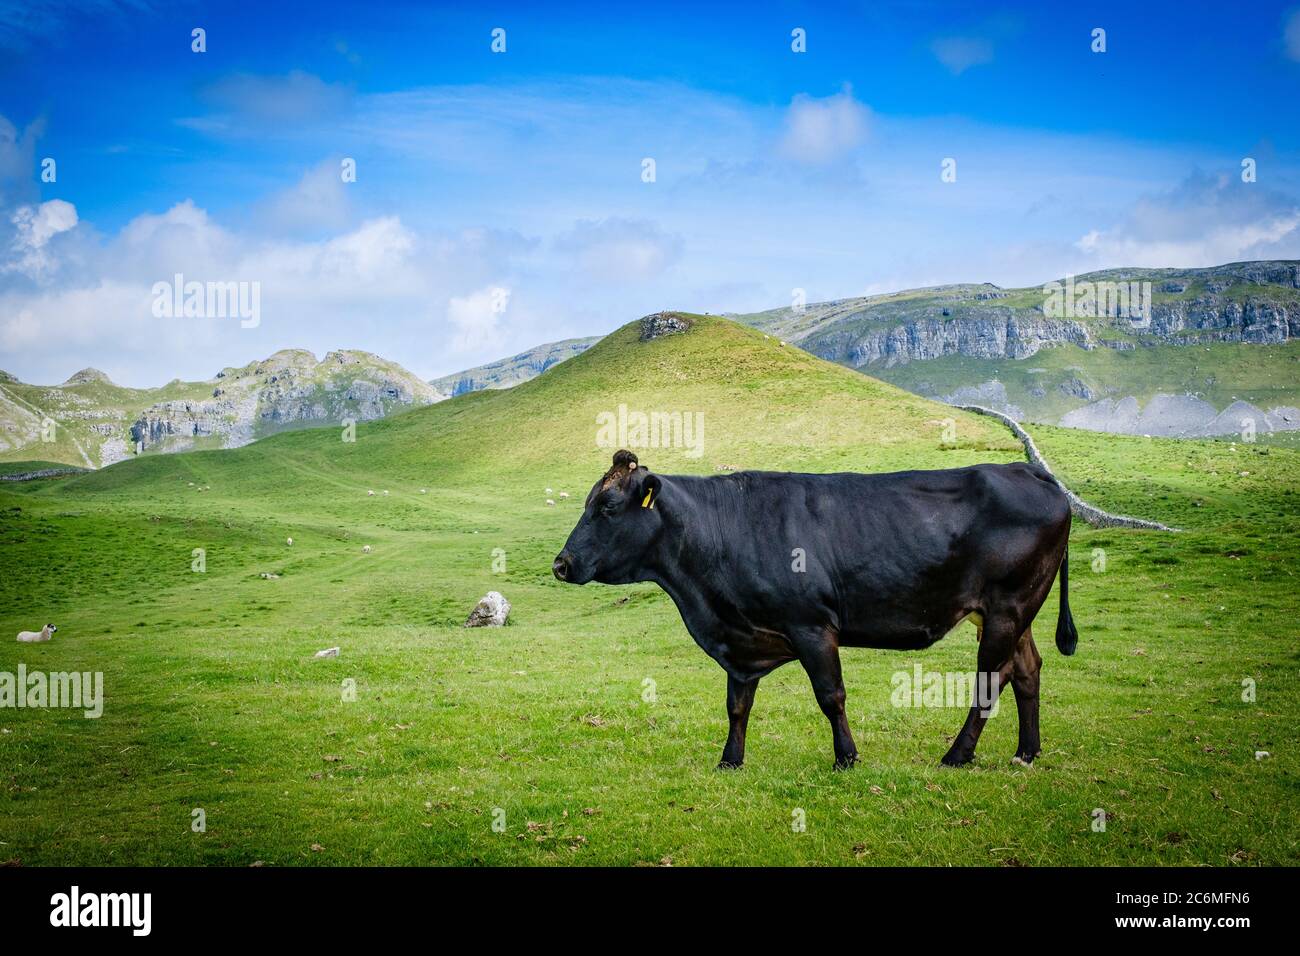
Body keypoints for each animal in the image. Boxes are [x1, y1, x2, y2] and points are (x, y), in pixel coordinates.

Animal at [553, 449, 1077, 770]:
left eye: (608, 508)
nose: (562, 564)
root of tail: (1024, 469)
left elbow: (831, 696)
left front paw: (846, 757)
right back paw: (1026, 752)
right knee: (1027, 669)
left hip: (1008, 606)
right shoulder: (740, 641)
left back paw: (958, 754)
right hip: (1008, 612)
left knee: (992, 678)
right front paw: (730, 760)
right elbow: (737, 705)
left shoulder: (812, 626)